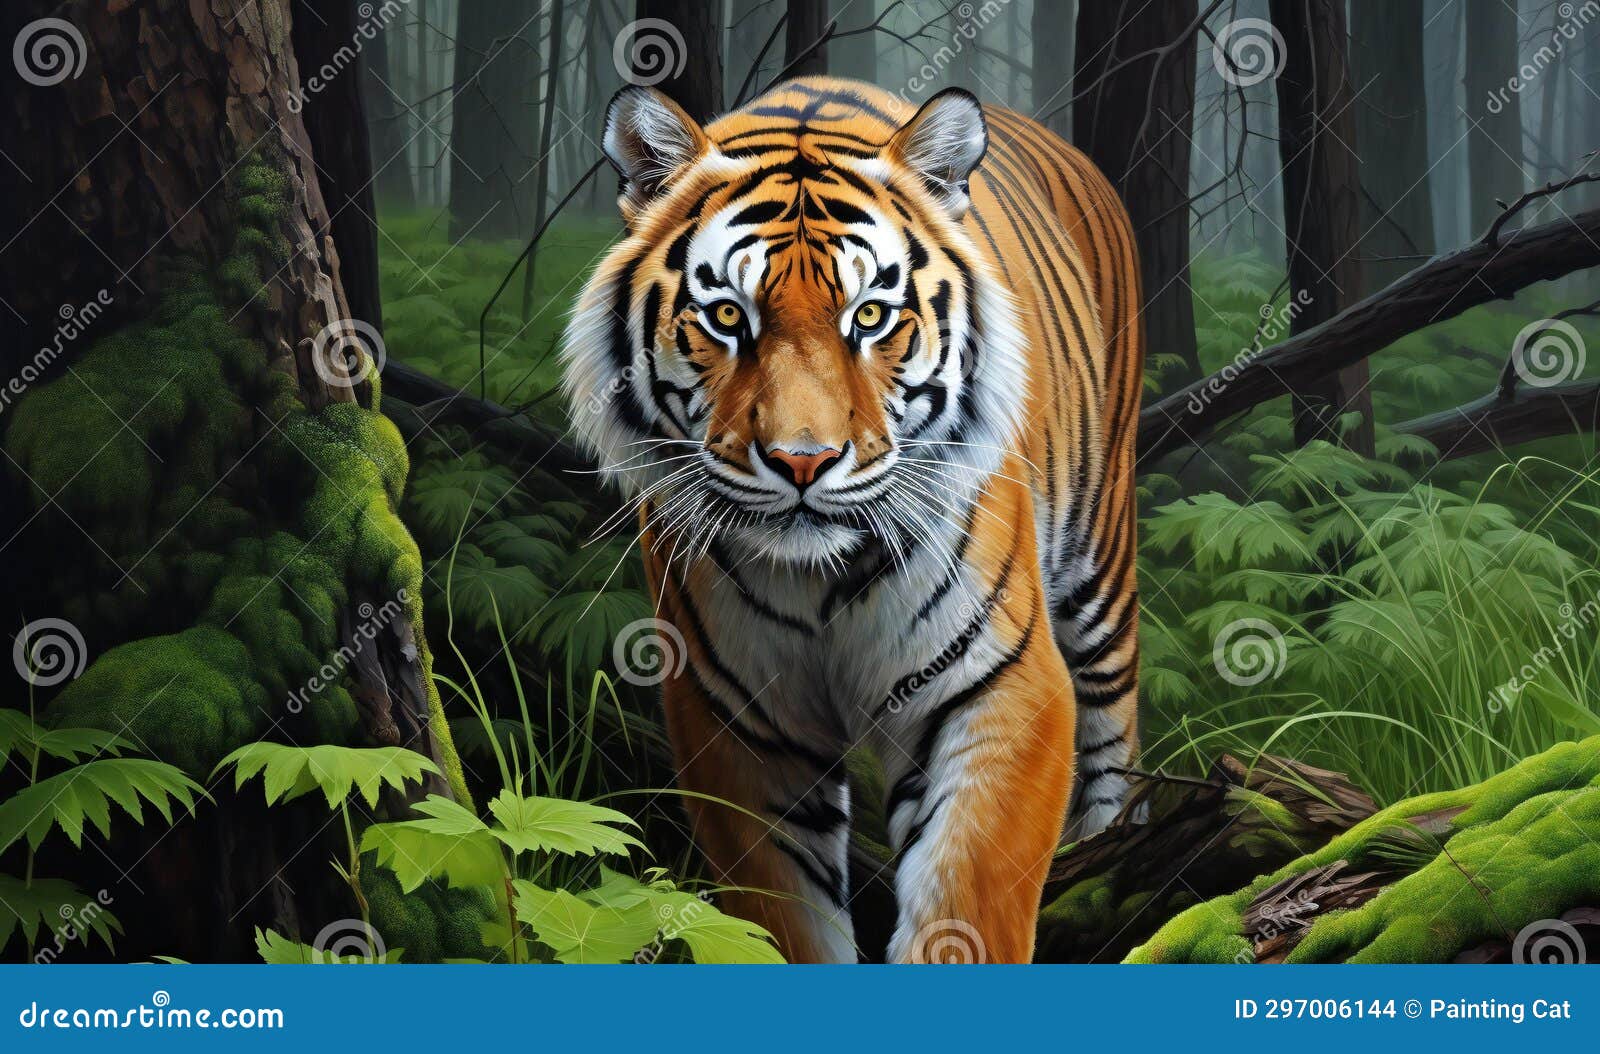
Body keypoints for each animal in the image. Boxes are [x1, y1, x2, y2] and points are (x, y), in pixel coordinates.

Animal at [561, 77, 1143, 964]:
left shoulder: (1000, 687)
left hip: (1099, 562)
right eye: (727, 317)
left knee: (1114, 733)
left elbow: (967, 905)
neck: (819, 581)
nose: (803, 461)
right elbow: (782, 921)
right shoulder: (739, 722)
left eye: (869, 317)